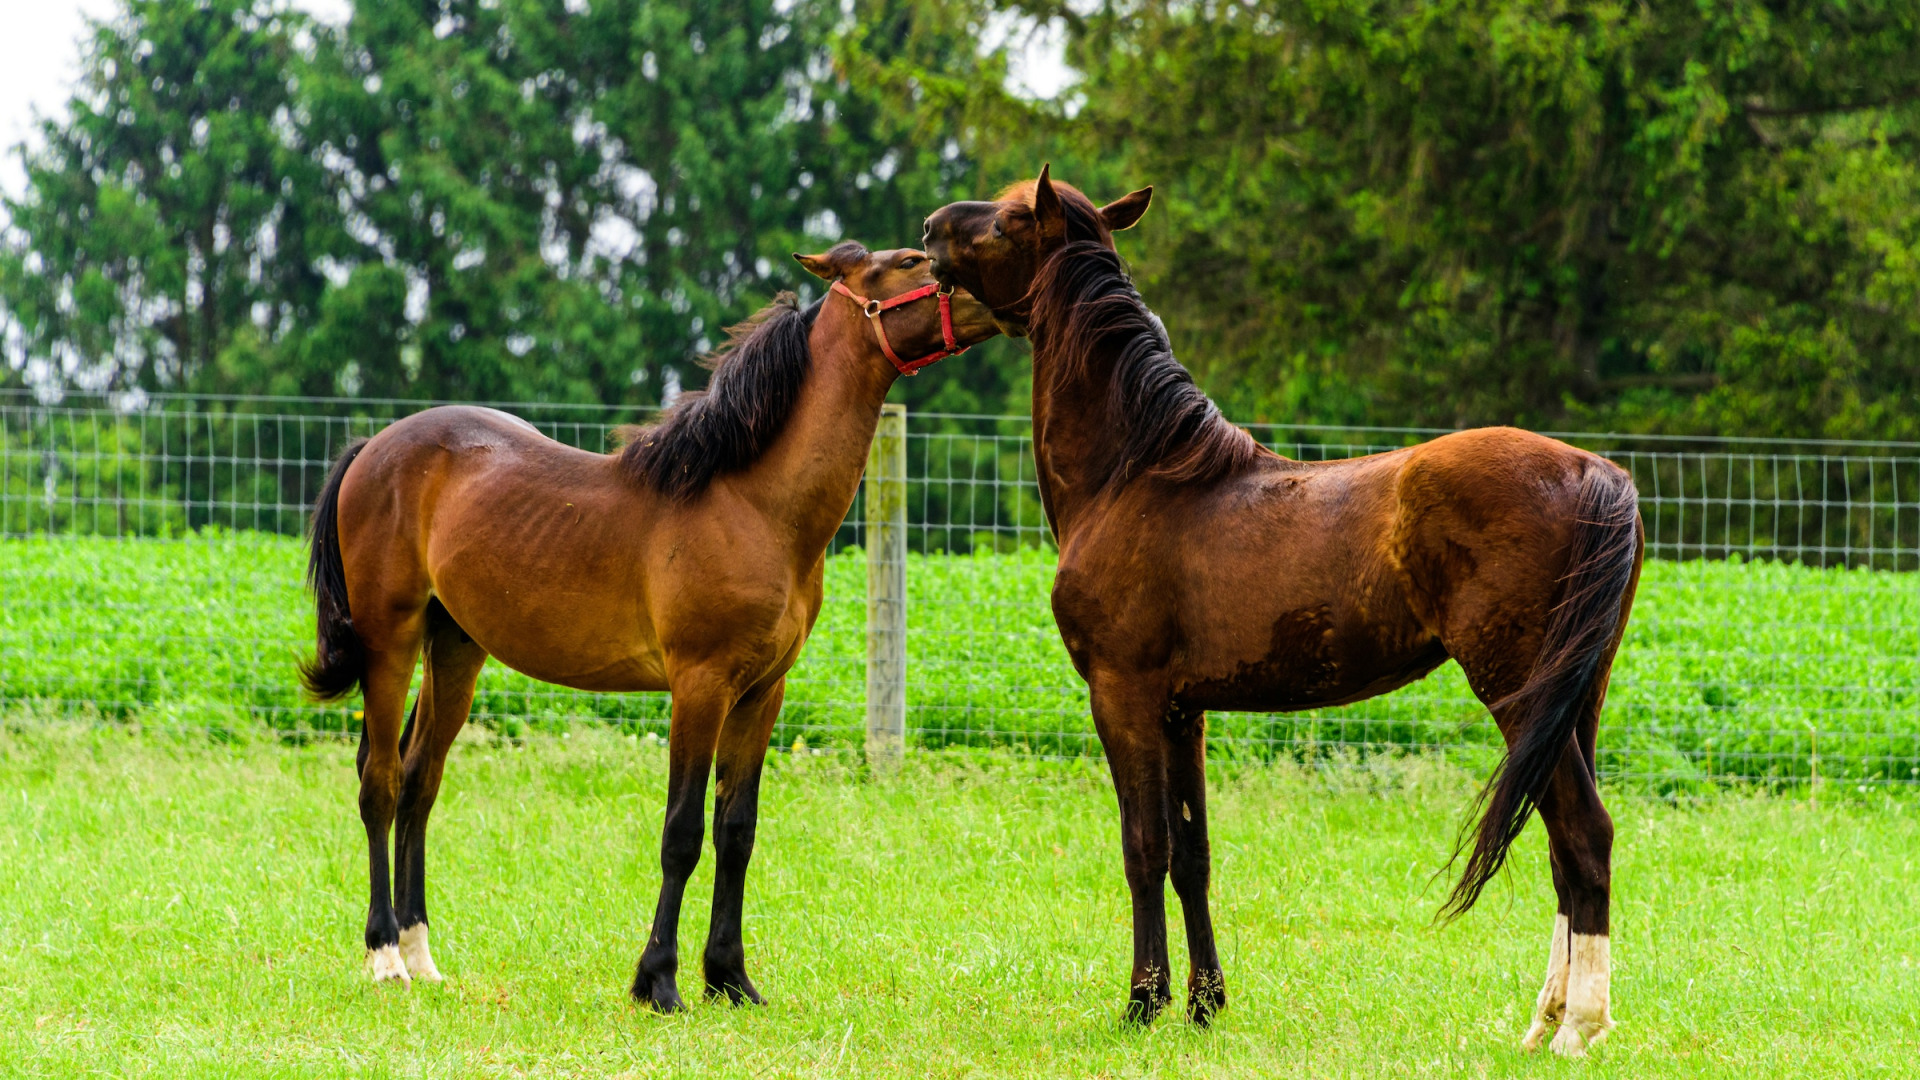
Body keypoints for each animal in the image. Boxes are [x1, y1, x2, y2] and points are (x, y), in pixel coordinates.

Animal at [298, 242, 997, 1010]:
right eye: (908, 261)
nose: (991, 294)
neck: (752, 503)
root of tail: (373, 448)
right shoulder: (700, 686)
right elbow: (682, 832)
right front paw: (658, 982)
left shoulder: (762, 694)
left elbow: (737, 829)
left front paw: (730, 978)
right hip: (389, 641)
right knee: (381, 781)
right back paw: (385, 955)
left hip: (456, 647)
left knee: (421, 782)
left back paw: (423, 955)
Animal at [922, 168, 1642, 1056]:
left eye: (1009, 220)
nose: (929, 229)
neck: (1139, 473)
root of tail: (1593, 472)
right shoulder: (1182, 711)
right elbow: (1191, 854)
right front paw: (1205, 1004)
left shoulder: (1122, 696)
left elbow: (1142, 846)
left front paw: (1142, 1004)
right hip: (1571, 702)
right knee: (1562, 851)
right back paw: (1542, 1025)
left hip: (1516, 691)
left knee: (1585, 837)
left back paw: (1578, 1029)